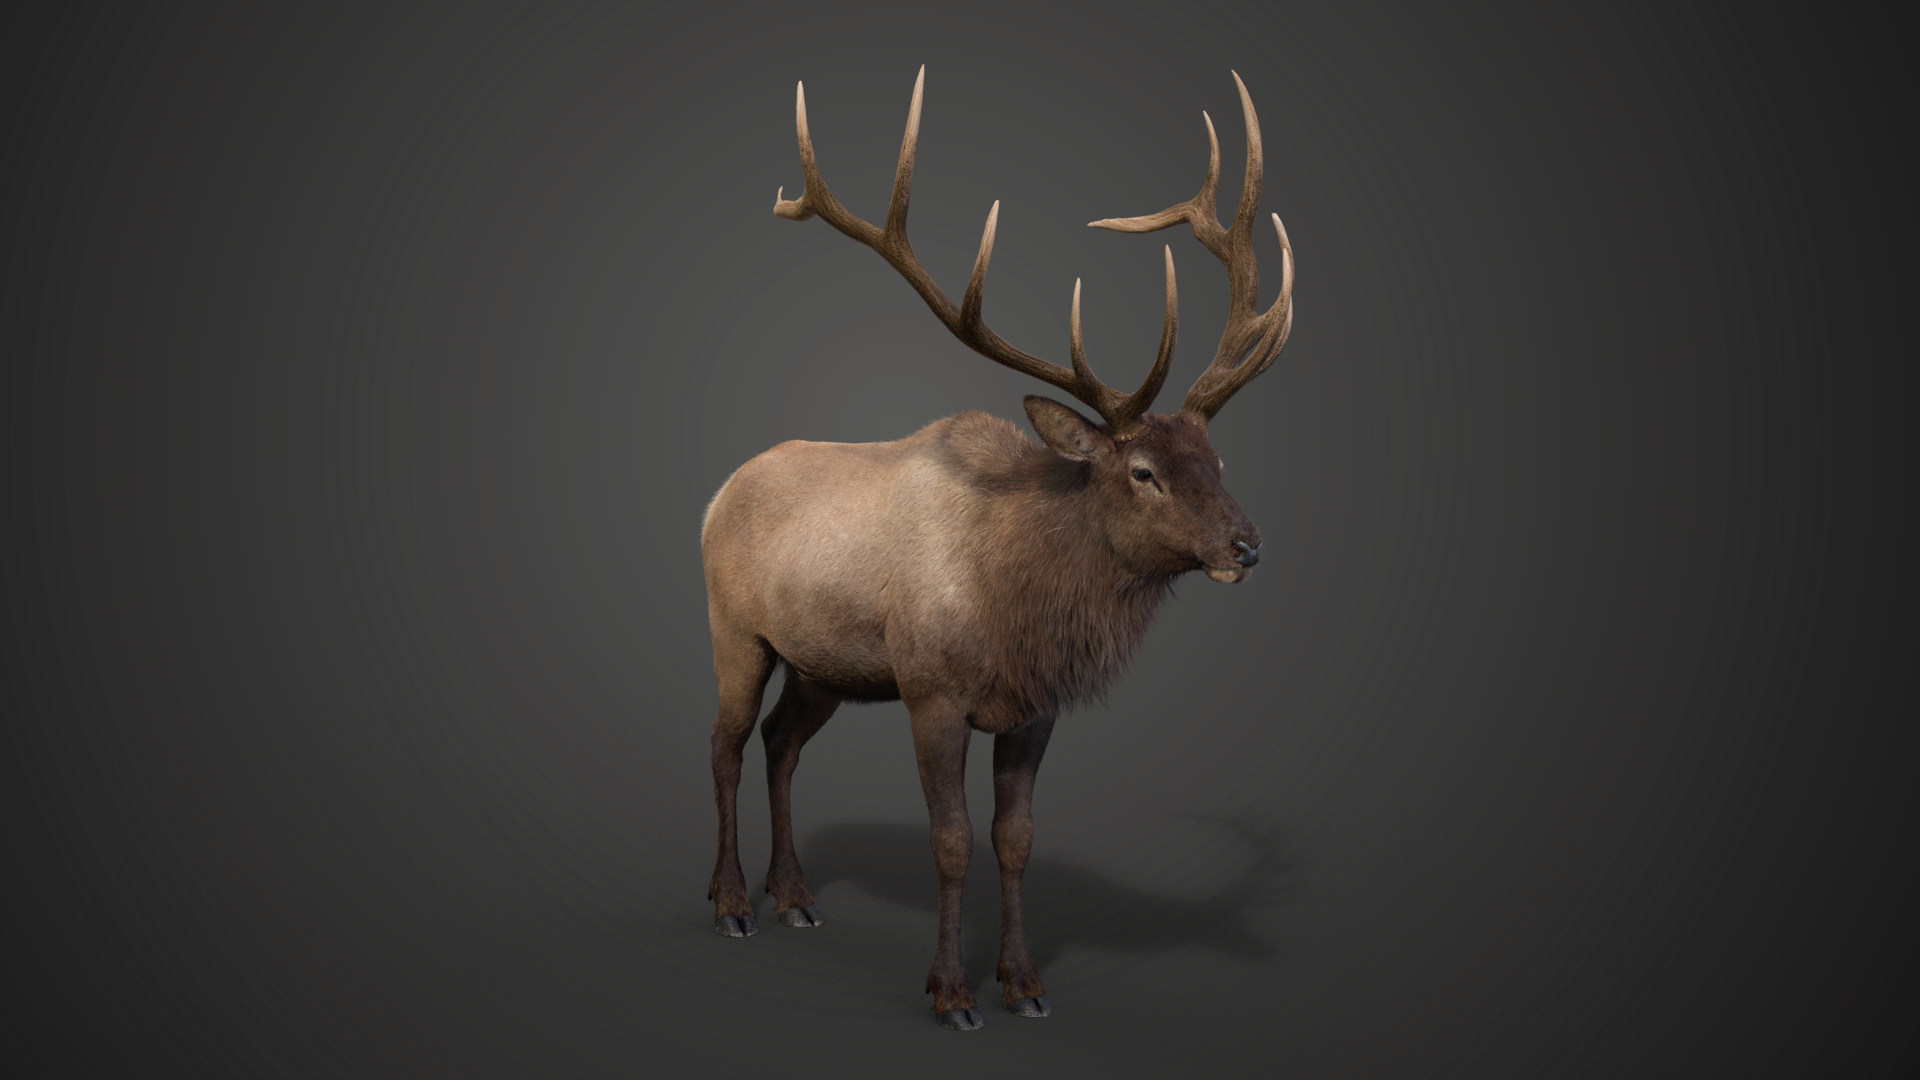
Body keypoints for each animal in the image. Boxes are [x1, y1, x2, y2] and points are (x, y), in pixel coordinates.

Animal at [701, 67, 1295, 1030]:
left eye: (1217, 460)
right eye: (1142, 471)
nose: (1246, 547)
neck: (1016, 604)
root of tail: (716, 494)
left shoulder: (1035, 707)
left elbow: (1015, 838)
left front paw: (1024, 984)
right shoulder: (931, 690)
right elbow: (950, 842)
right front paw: (950, 992)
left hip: (824, 663)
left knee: (784, 742)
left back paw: (795, 896)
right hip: (736, 631)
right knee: (727, 742)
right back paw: (731, 904)